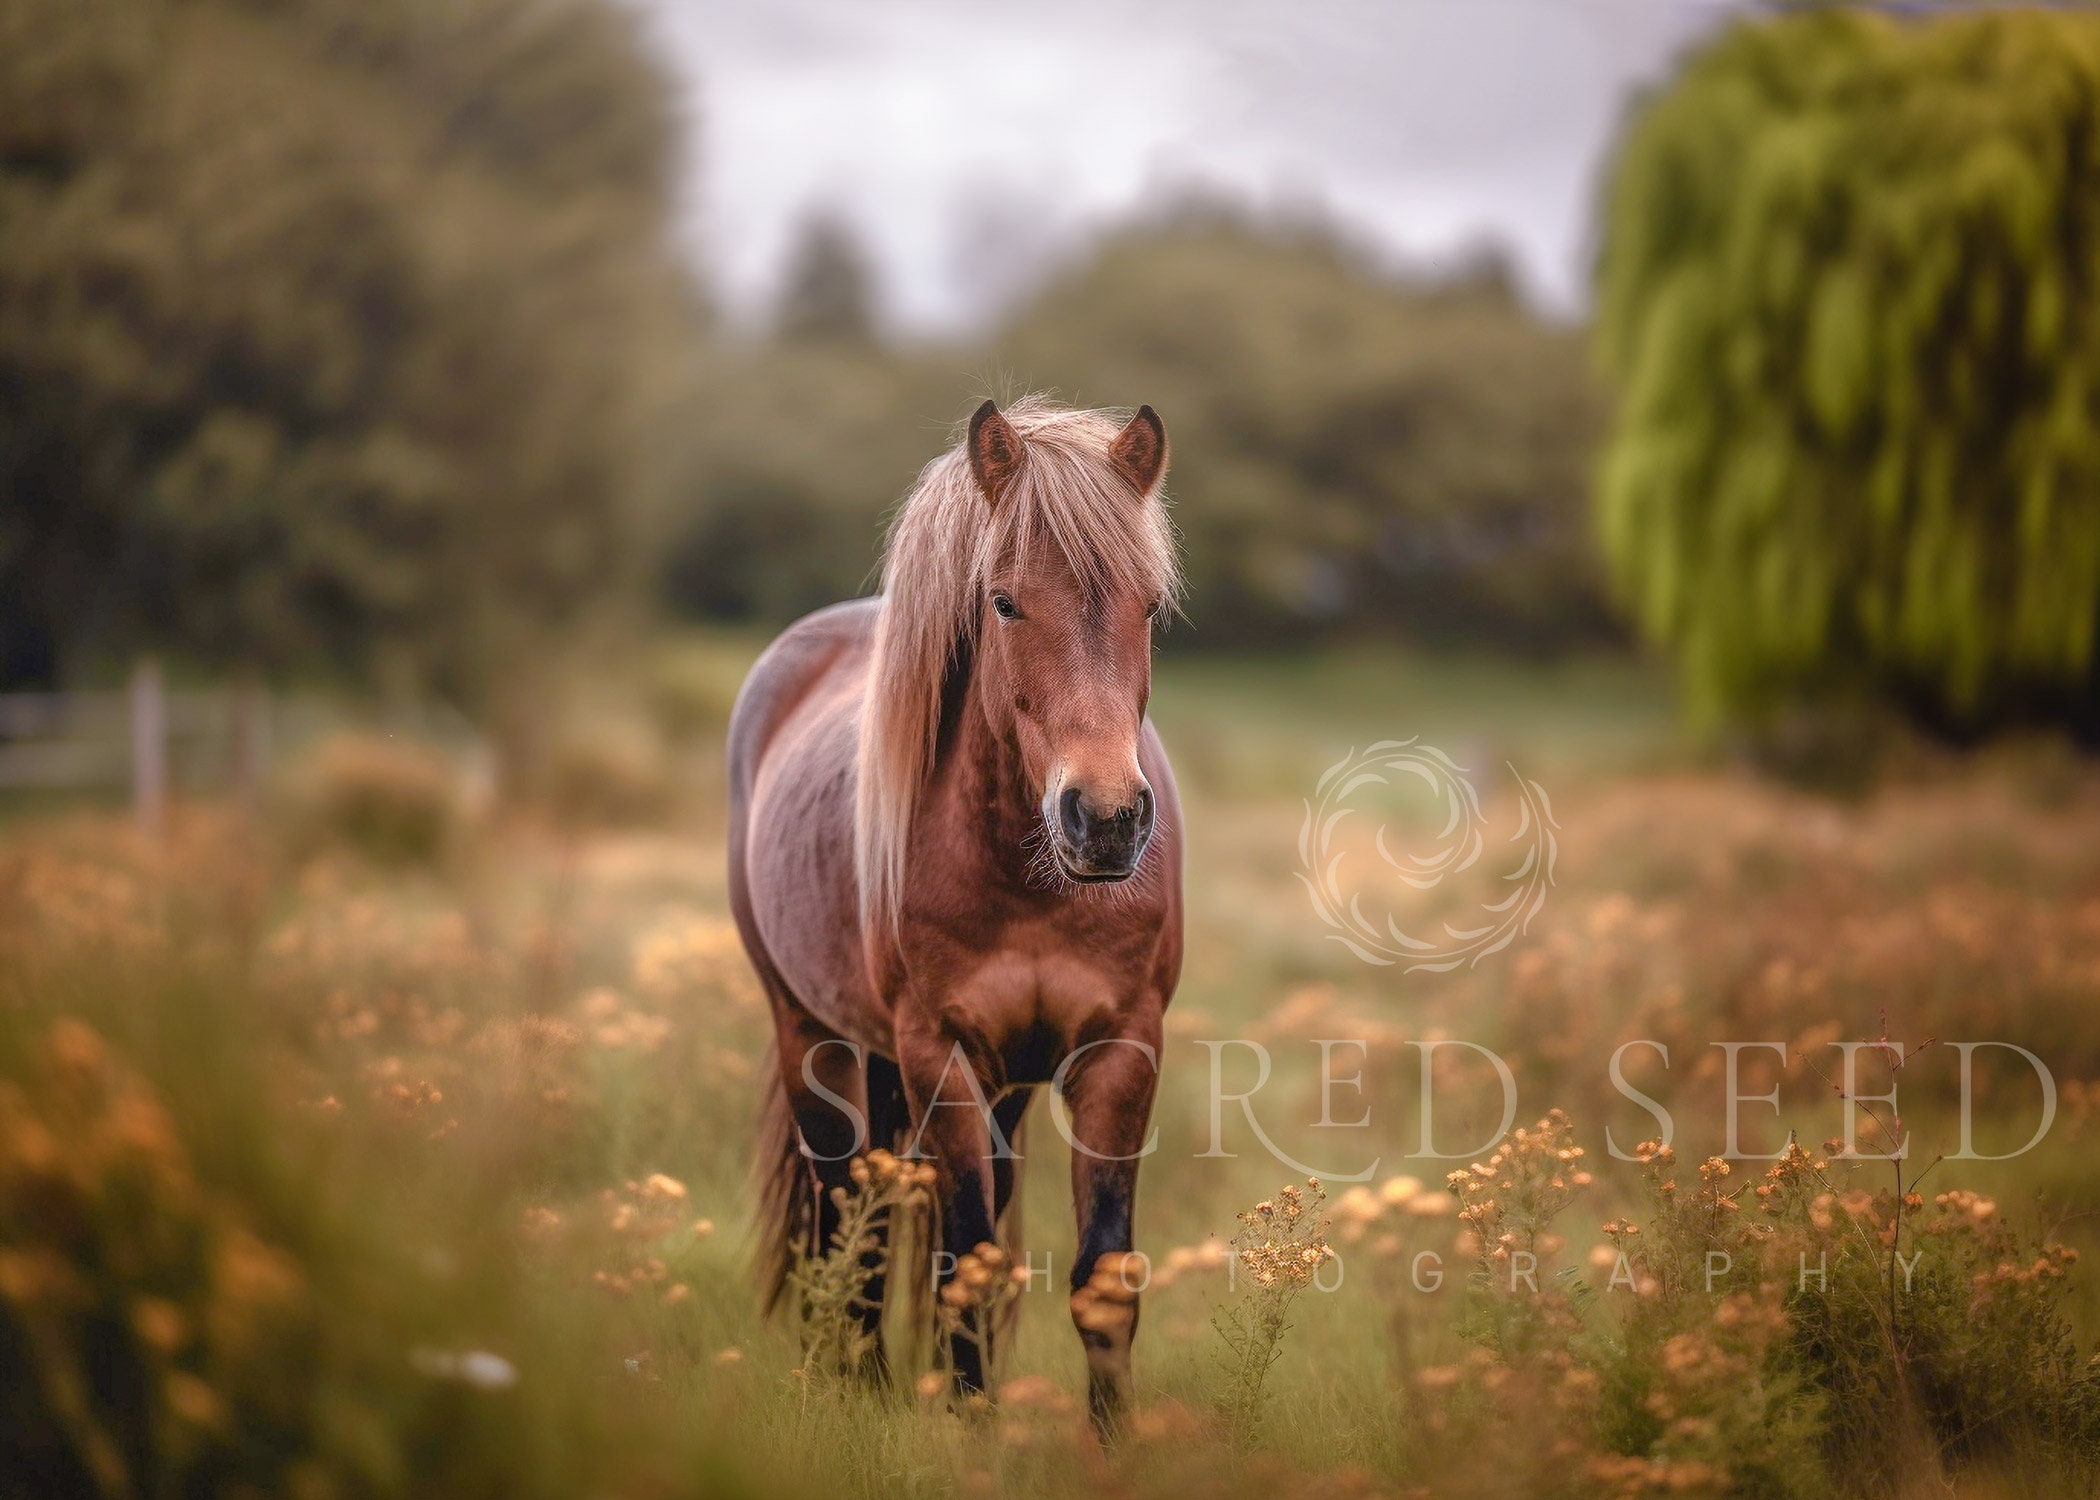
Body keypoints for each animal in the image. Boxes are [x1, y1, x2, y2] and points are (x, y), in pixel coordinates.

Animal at [726, 395, 1184, 1427]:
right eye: (1005, 602)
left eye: (1148, 607)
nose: (1105, 819)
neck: (1032, 881)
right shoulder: (938, 1053)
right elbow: (962, 1267)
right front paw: (969, 1435)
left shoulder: (1120, 1052)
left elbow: (1101, 1280)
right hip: (813, 1037)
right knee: (846, 1210)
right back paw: (848, 1383)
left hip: (998, 1085)